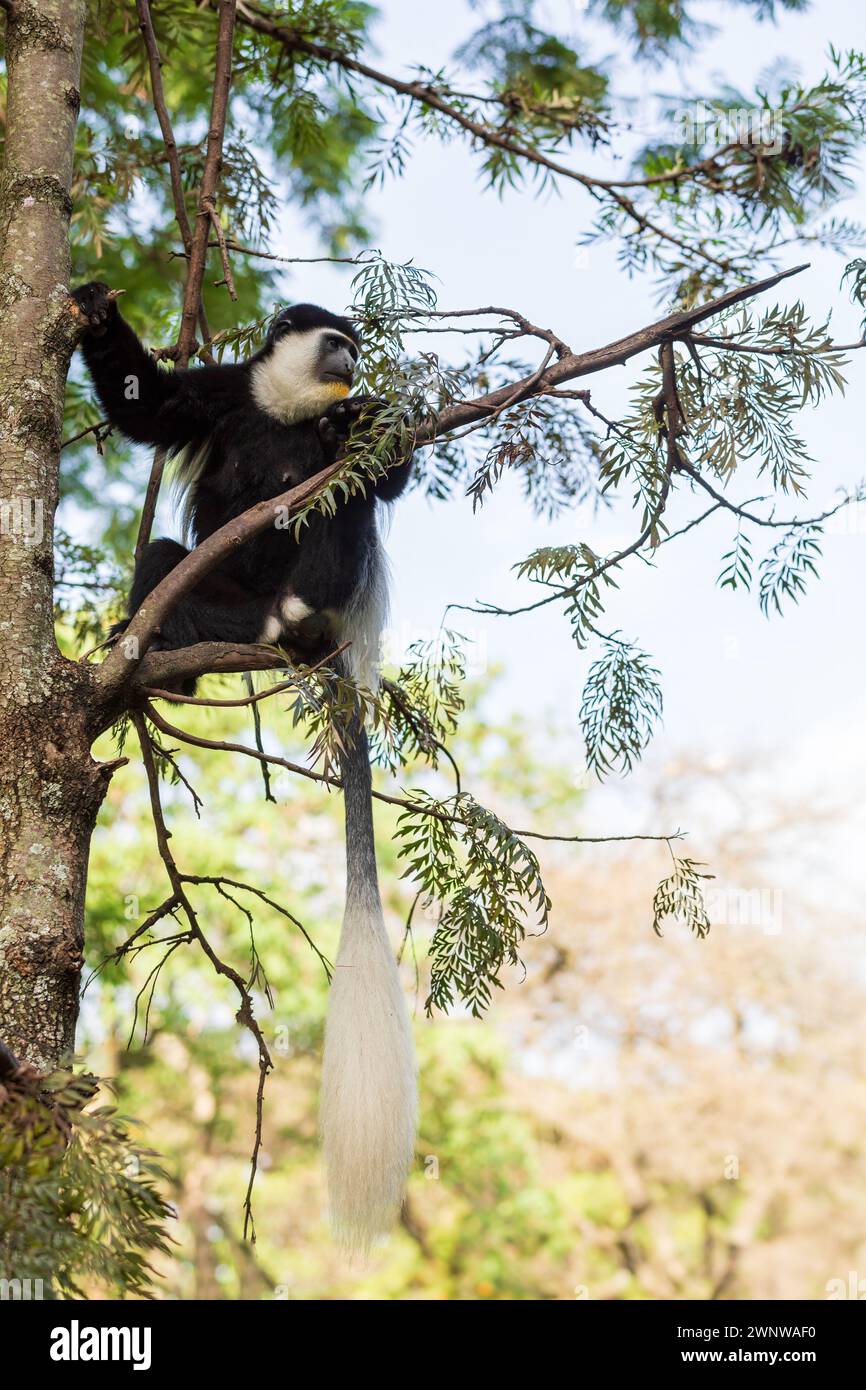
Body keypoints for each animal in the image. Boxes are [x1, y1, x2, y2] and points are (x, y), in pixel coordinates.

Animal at [71, 282, 418, 1250]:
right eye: (334, 340)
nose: (351, 362)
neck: (291, 412)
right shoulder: (225, 395)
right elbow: (149, 407)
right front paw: (92, 310)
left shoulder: (338, 430)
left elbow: (379, 476)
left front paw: (375, 423)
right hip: (211, 596)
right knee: (165, 562)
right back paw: (155, 654)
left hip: (320, 583)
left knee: (346, 509)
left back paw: (300, 611)